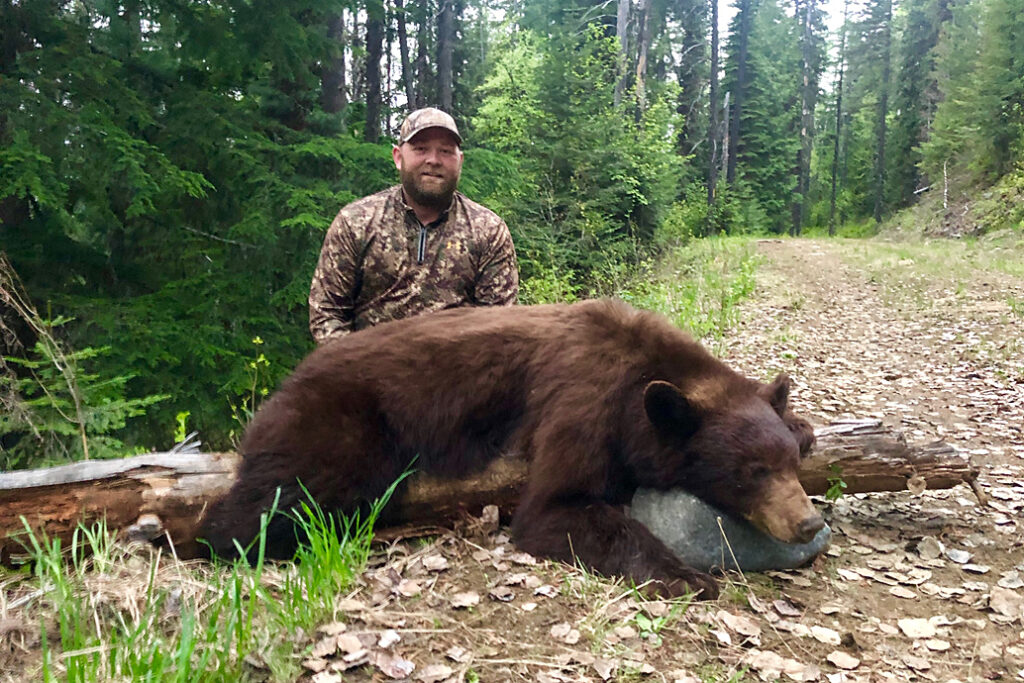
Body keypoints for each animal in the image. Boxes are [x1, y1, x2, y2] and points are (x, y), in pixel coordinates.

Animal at [200, 299, 822, 599]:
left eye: (788, 467)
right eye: (751, 472)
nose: (808, 524)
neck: (641, 372)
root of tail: (289, 377)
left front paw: (801, 420)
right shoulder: (584, 399)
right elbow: (555, 507)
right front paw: (686, 576)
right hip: (341, 421)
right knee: (283, 495)